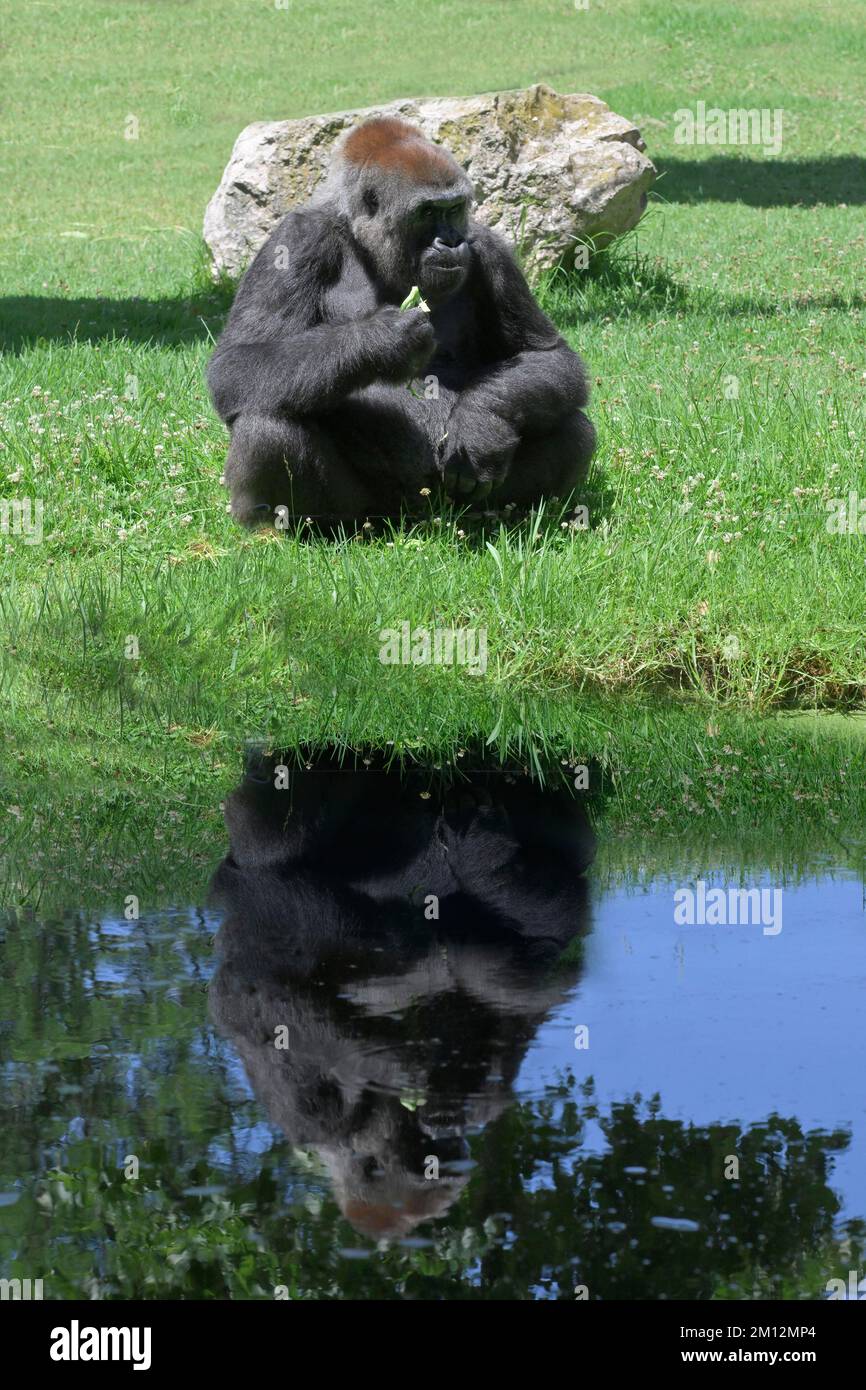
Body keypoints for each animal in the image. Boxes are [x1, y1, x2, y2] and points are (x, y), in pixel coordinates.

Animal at [206, 116, 596, 528]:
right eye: (427, 213)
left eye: (454, 208)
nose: (452, 242)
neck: (363, 239)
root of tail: (423, 518)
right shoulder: (295, 239)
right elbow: (237, 363)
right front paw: (379, 340)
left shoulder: (492, 250)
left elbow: (547, 355)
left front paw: (482, 422)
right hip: (373, 511)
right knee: (265, 425)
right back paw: (290, 527)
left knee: (572, 427)